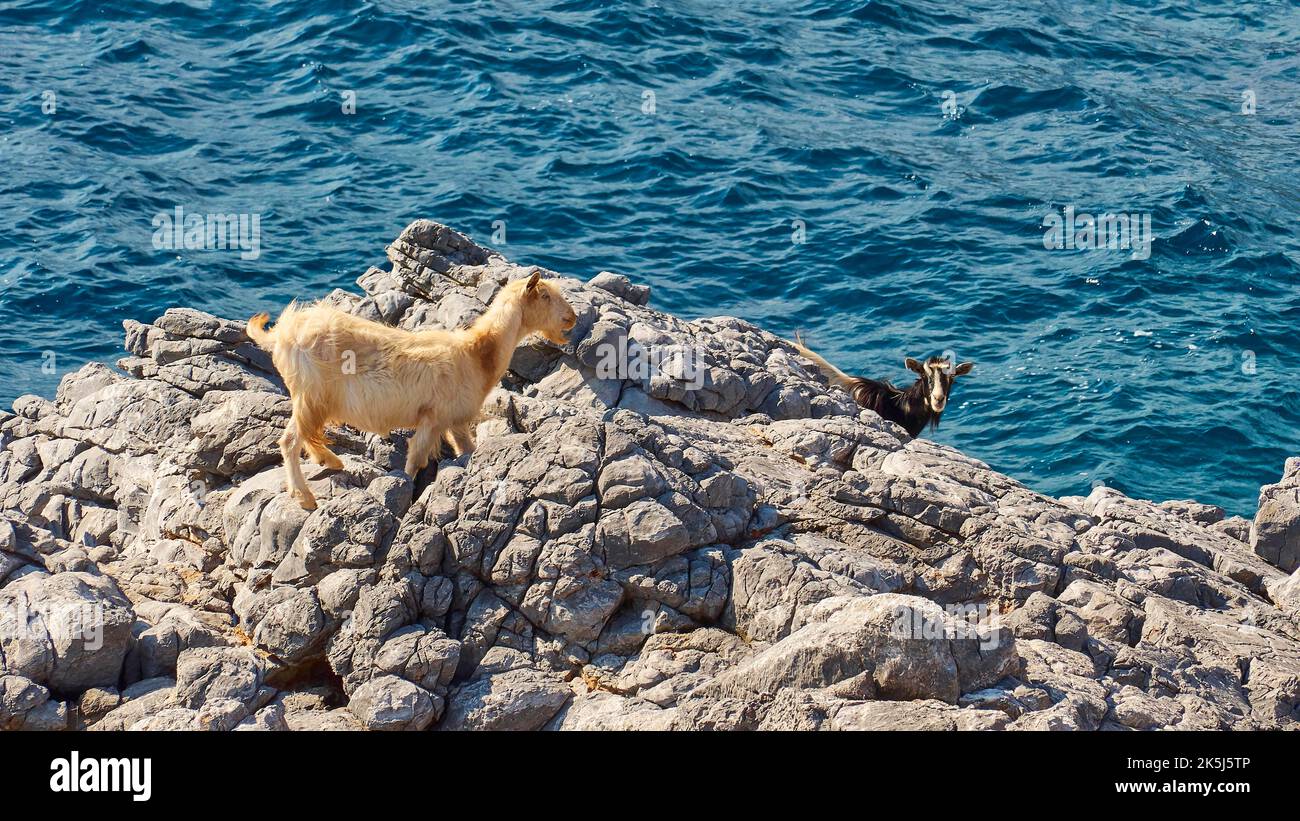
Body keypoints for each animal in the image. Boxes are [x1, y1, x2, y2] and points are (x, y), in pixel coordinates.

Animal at [247, 271, 578, 509]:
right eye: (545, 295)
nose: (572, 318)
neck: (478, 354)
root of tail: (283, 332)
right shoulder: (433, 418)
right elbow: (415, 459)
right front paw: (403, 487)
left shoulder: (454, 421)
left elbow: (466, 449)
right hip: (311, 394)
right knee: (290, 440)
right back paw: (305, 497)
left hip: (314, 399)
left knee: (305, 434)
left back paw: (330, 461)